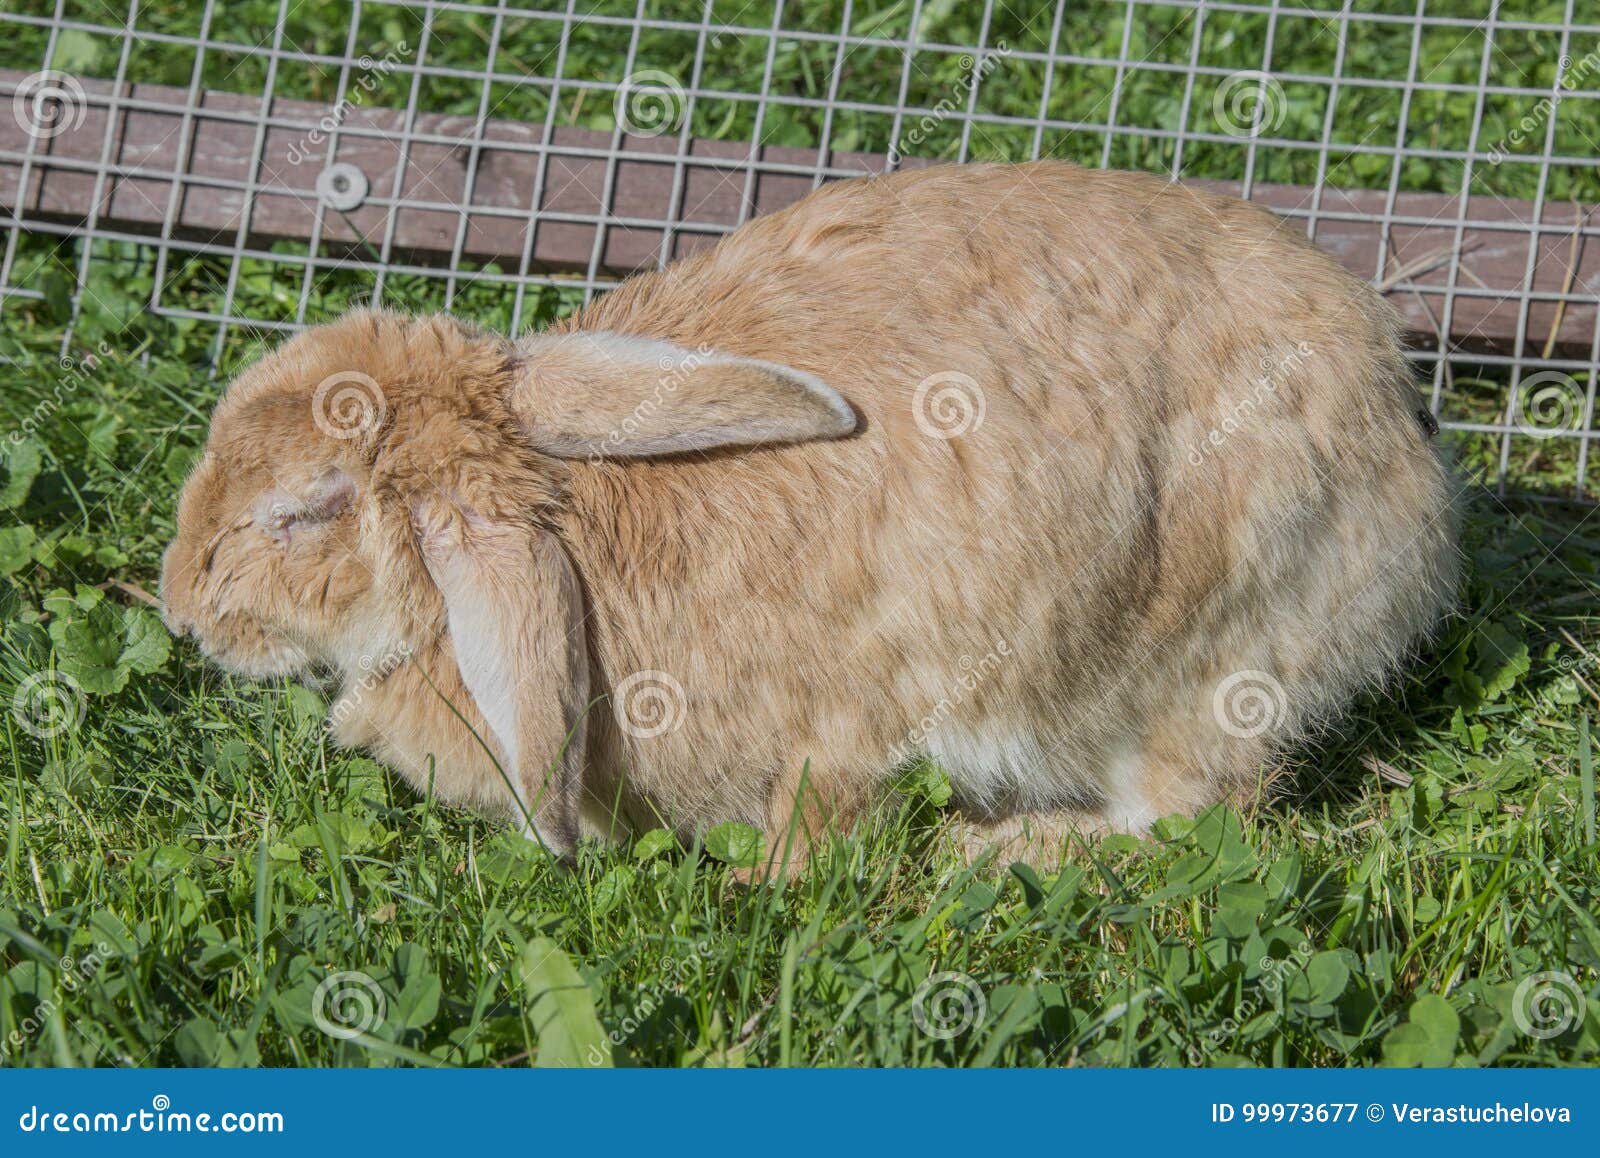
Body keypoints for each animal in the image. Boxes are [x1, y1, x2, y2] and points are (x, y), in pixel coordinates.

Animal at [159, 160, 1456, 872]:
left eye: (304, 512)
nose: (178, 610)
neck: (567, 520)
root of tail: (1405, 462)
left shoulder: (831, 740)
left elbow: (816, 824)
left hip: (1201, 663)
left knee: (1190, 812)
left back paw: (993, 852)